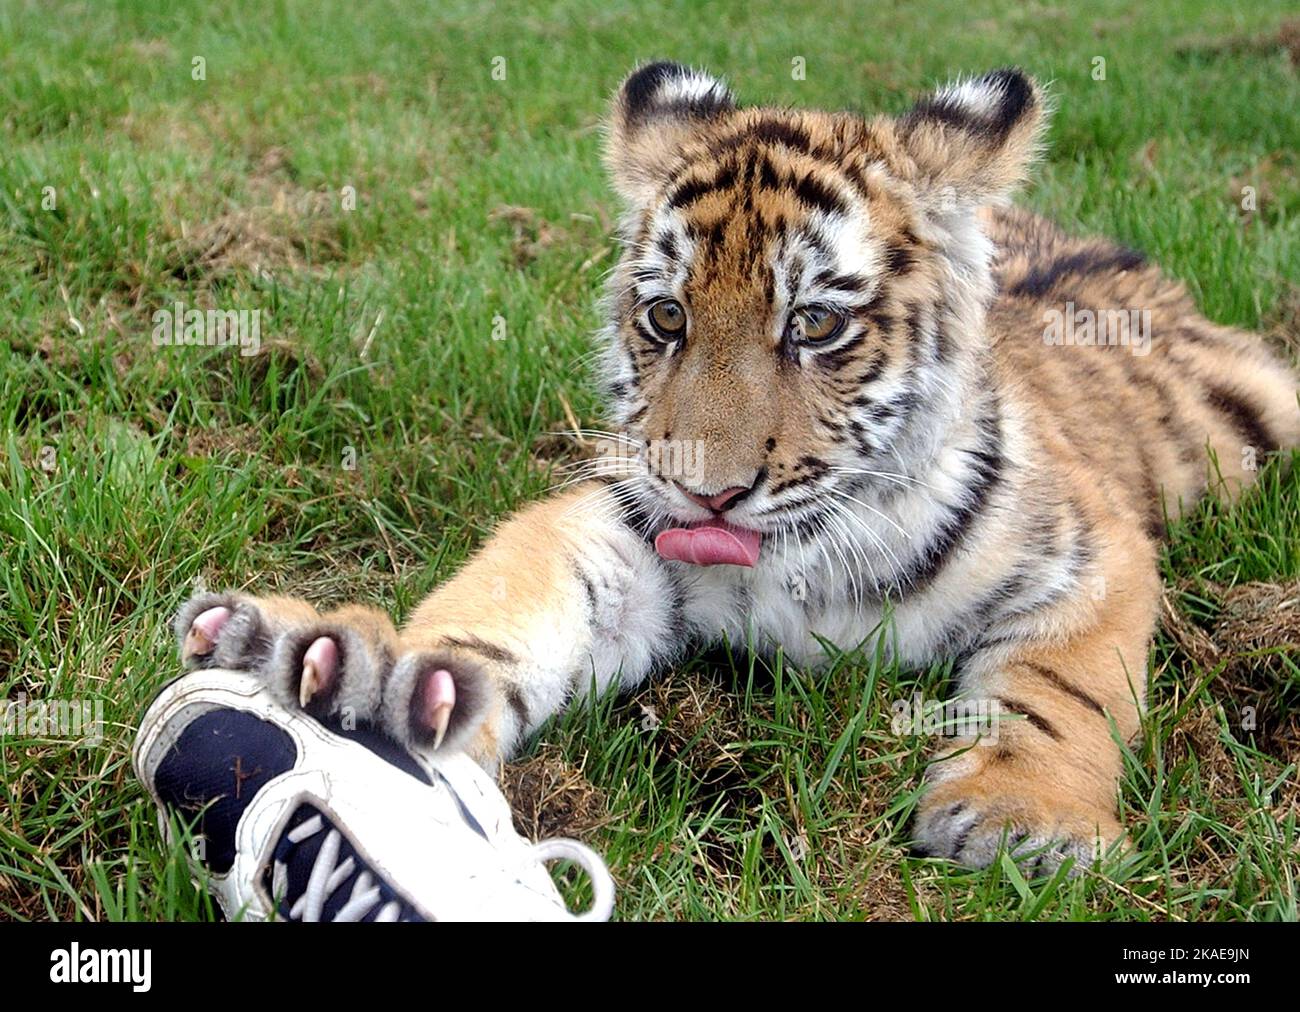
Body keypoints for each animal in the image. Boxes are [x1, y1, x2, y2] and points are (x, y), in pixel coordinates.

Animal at [173, 63, 1300, 874]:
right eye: (667, 317)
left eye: (816, 324)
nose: (707, 489)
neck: (811, 552)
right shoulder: (624, 535)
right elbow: (507, 603)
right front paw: (363, 678)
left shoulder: (1093, 553)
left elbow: (1064, 688)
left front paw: (1024, 817)